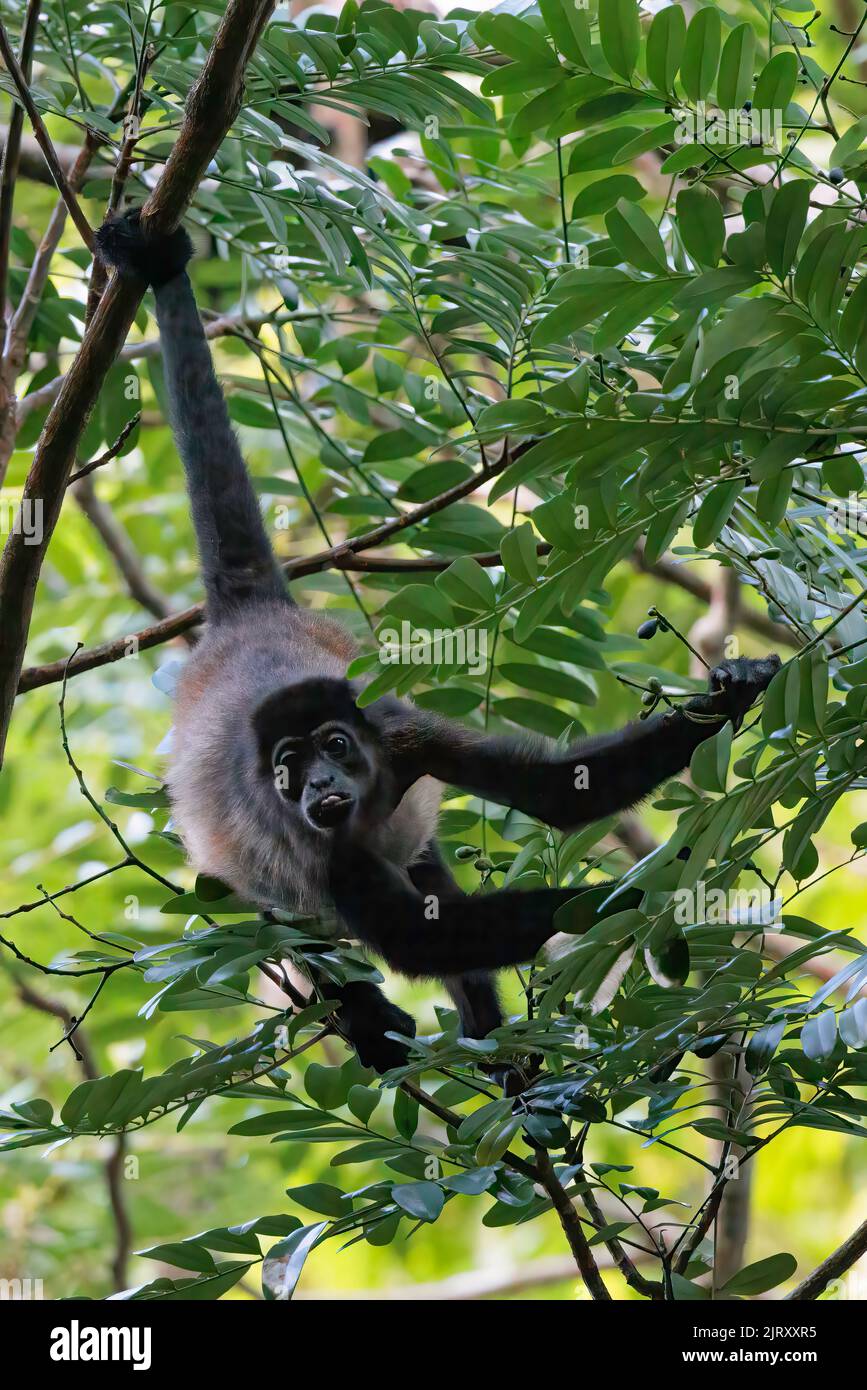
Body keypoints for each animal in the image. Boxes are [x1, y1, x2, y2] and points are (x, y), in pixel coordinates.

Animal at [95, 209, 781, 1073]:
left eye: (334, 745)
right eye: (287, 768)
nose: (320, 785)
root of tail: (247, 619)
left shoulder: (399, 731)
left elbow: (556, 794)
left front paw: (734, 692)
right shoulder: (310, 845)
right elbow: (421, 939)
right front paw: (628, 897)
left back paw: (498, 1049)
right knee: (293, 921)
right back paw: (374, 1024)